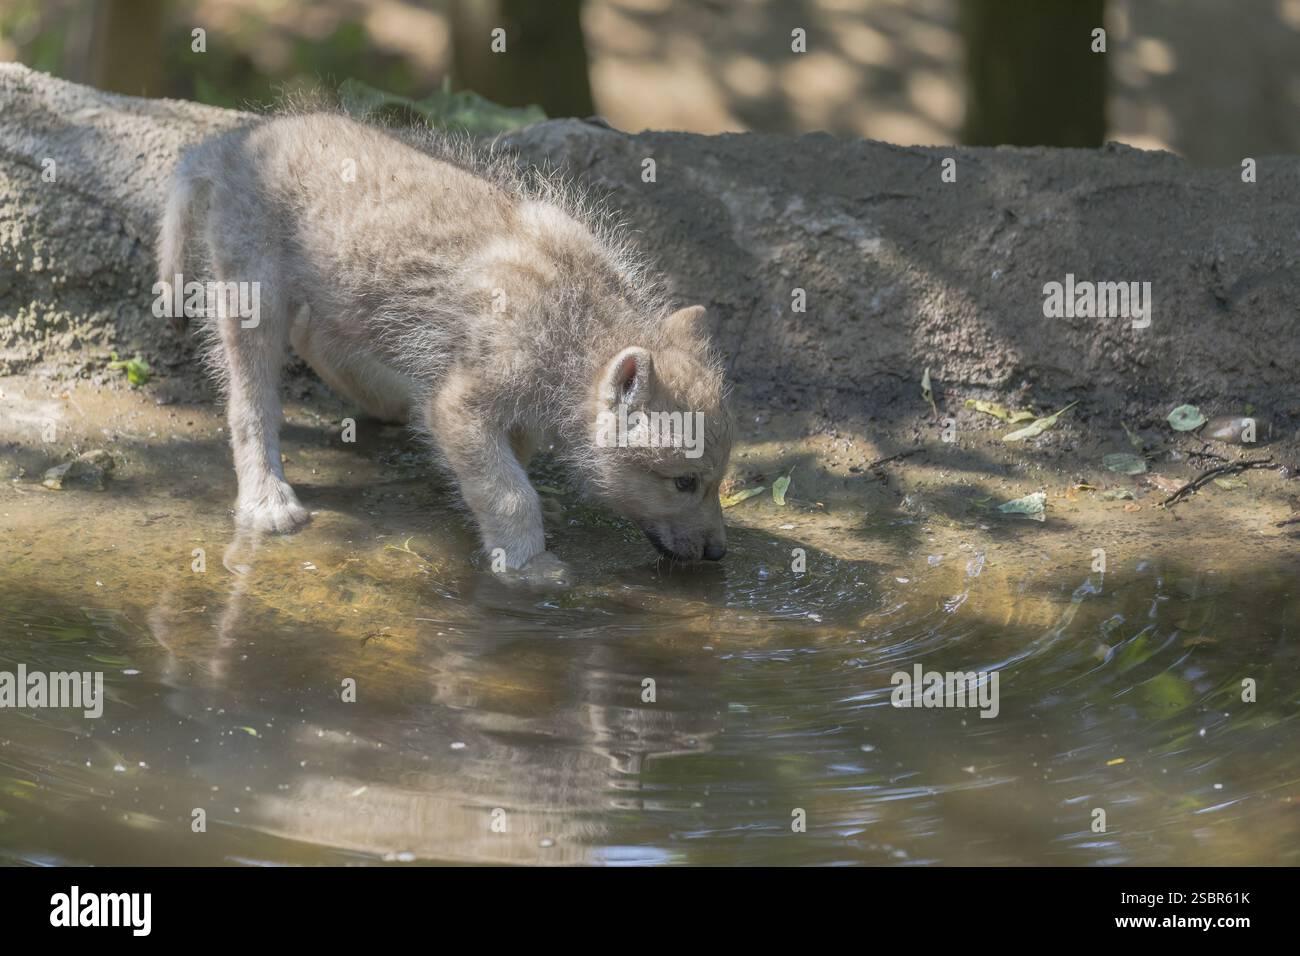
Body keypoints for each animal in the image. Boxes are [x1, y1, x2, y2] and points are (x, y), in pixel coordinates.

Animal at [157, 112, 732, 576]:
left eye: (718, 479)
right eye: (684, 482)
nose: (719, 553)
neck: (573, 327)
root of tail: (232, 144)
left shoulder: (507, 412)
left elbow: (511, 465)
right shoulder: (460, 405)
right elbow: (507, 494)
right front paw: (528, 565)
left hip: (343, 295)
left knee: (313, 338)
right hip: (253, 296)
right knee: (249, 402)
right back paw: (268, 502)